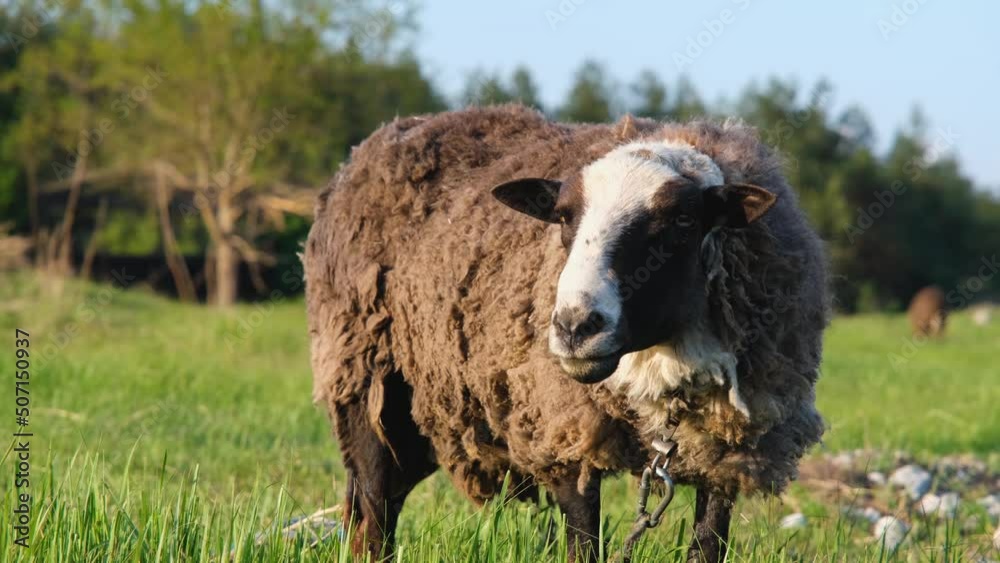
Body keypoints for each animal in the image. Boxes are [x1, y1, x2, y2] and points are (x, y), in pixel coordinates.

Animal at [304, 105, 829, 562]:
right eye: (562, 216)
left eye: (682, 220)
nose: (575, 326)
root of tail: (388, 134)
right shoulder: (564, 433)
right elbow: (582, 545)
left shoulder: (728, 454)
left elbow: (706, 546)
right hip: (363, 376)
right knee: (374, 512)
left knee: (378, 504)